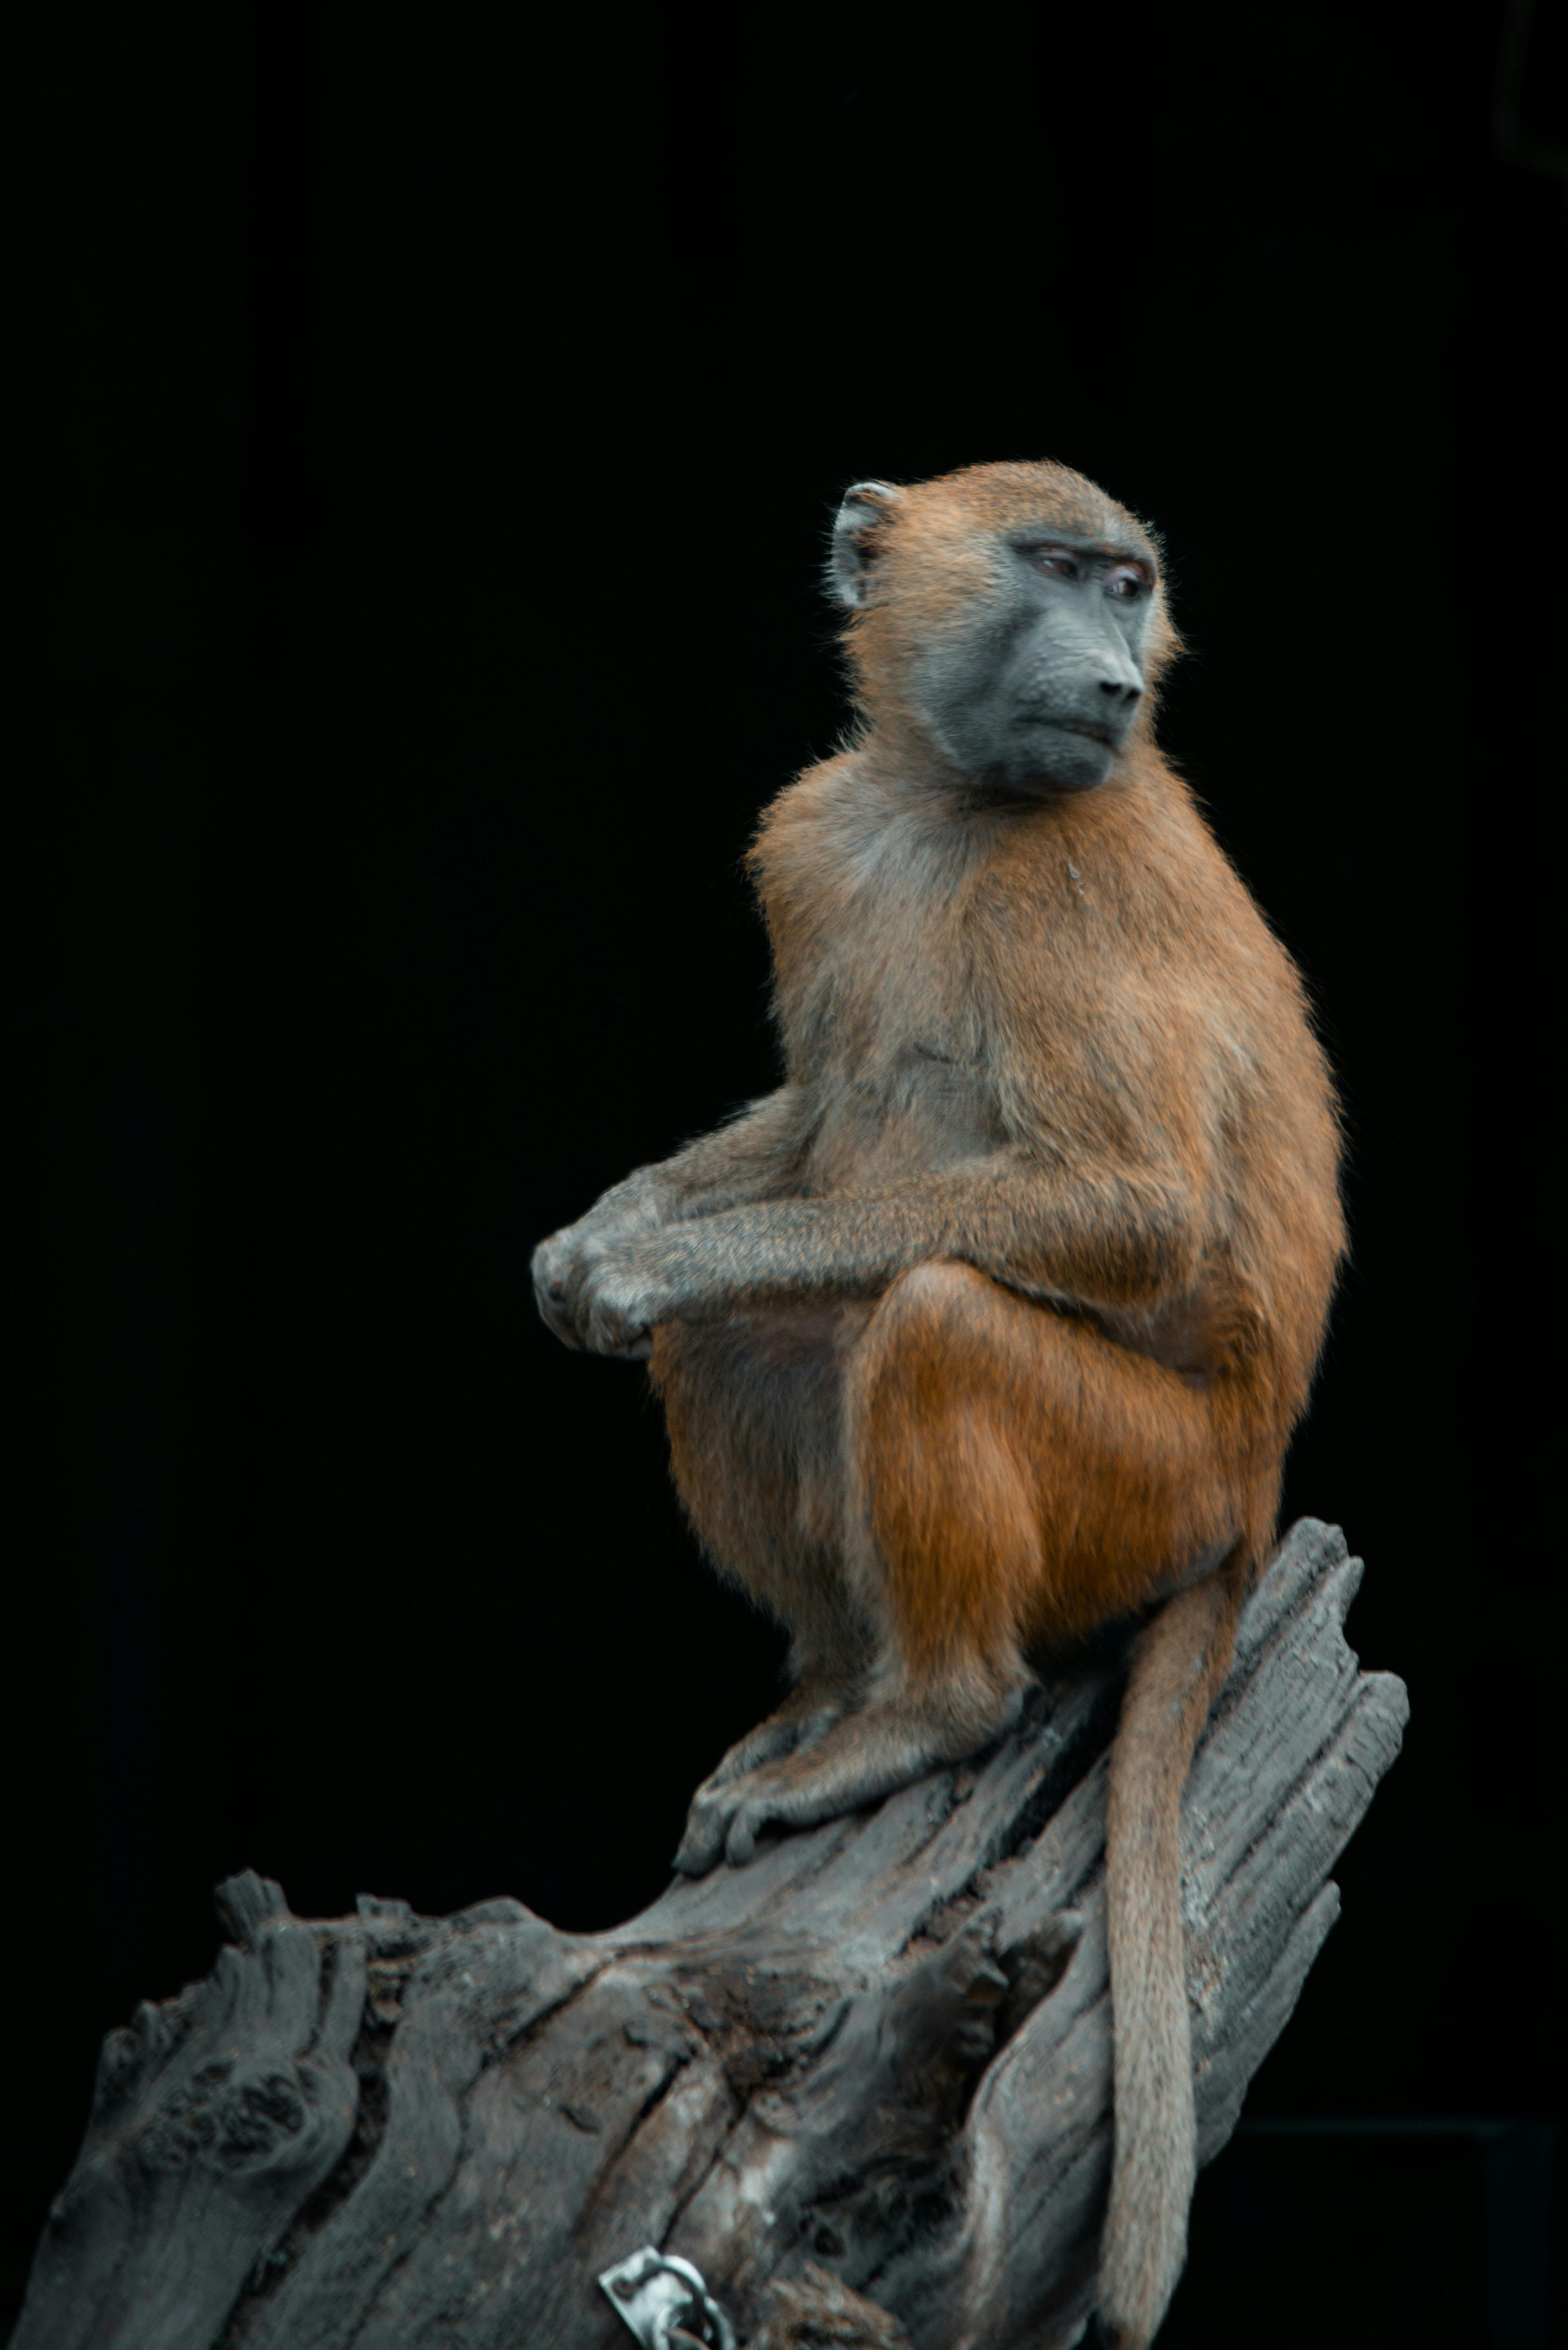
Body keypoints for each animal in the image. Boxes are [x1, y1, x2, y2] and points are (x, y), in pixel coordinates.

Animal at [531, 461, 1343, 2349]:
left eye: (1128, 586)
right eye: (1058, 571)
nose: (1114, 680)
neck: (941, 795)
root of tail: (1257, 1485)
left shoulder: (1067, 887)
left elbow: (1129, 1210)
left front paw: (647, 1262)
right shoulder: (810, 840)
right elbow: (818, 1125)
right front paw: (599, 1238)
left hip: (1148, 1481)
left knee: (936, 1320)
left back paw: (922, 1712)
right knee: (744, 1352)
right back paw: (832, 1682)